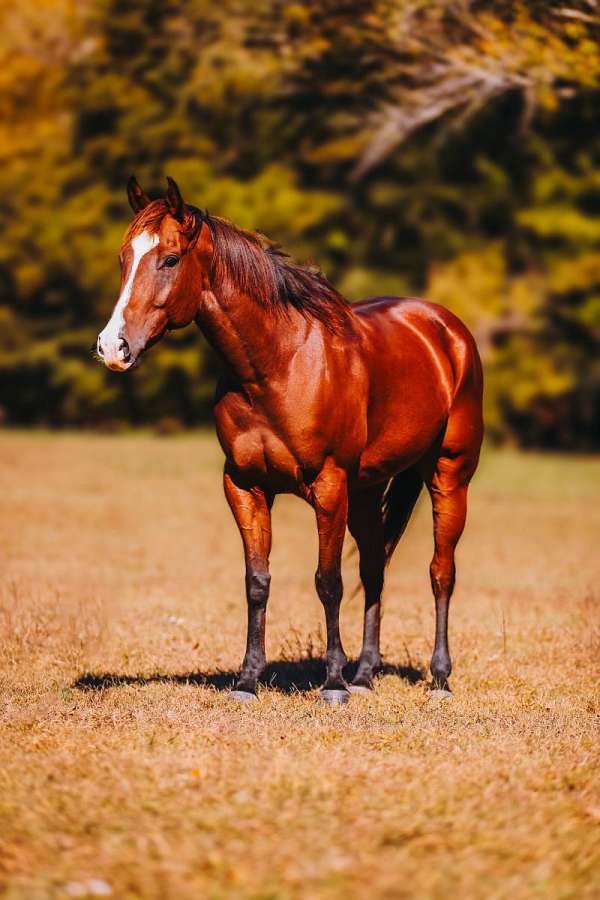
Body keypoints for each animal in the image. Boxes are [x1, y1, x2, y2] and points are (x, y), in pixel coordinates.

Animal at [97, 176, 484, 704]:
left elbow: (327, 582)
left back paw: (438, 678)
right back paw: (366, 675)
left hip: (448, 476)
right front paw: (247, 680)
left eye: (170, 259)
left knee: (441, 572)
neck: (276, 364)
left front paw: (333, 684)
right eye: (123, 257)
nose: (112, 348)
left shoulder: (328, 486)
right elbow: (257, 581)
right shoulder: (245, 486)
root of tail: (448, 331)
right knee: (375, 569)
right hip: (366, 491)